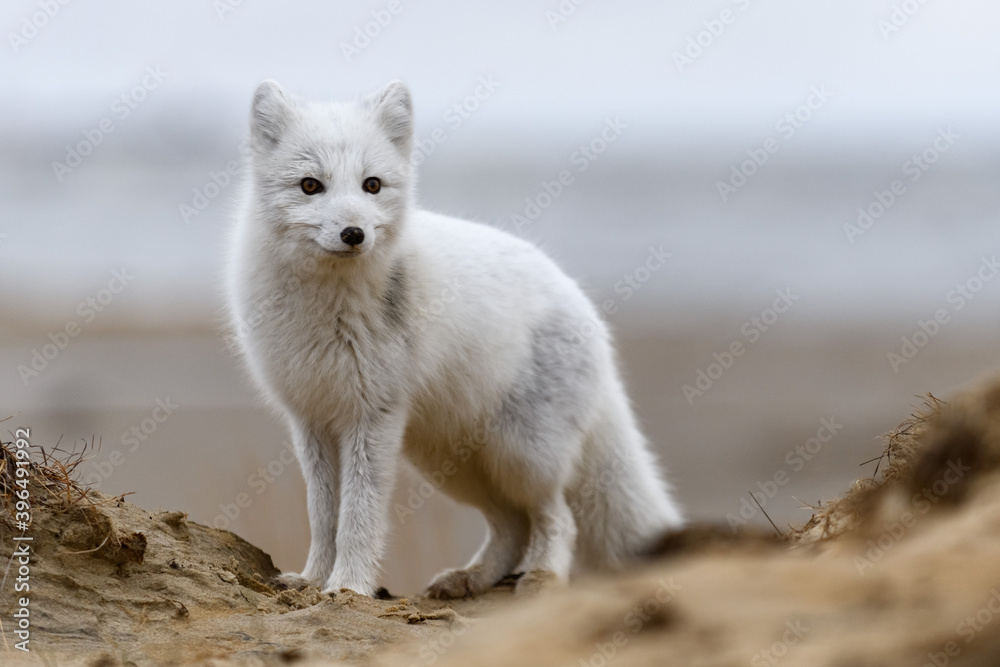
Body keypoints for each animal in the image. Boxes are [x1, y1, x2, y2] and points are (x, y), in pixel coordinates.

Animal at [226, 79, 683, 598]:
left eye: (371, 185)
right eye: (309, 185)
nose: (354, 232)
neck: (325, 307)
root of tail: (588, 311)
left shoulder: (372, 415)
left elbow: (358, 516)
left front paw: (348, 587)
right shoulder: (311, 420)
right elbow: (323, 515)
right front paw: (312, 579)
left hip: (522, 456)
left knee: (557, 517)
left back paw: (543, 576)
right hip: (451, 462)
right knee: (511, 525)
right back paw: (472, 578)